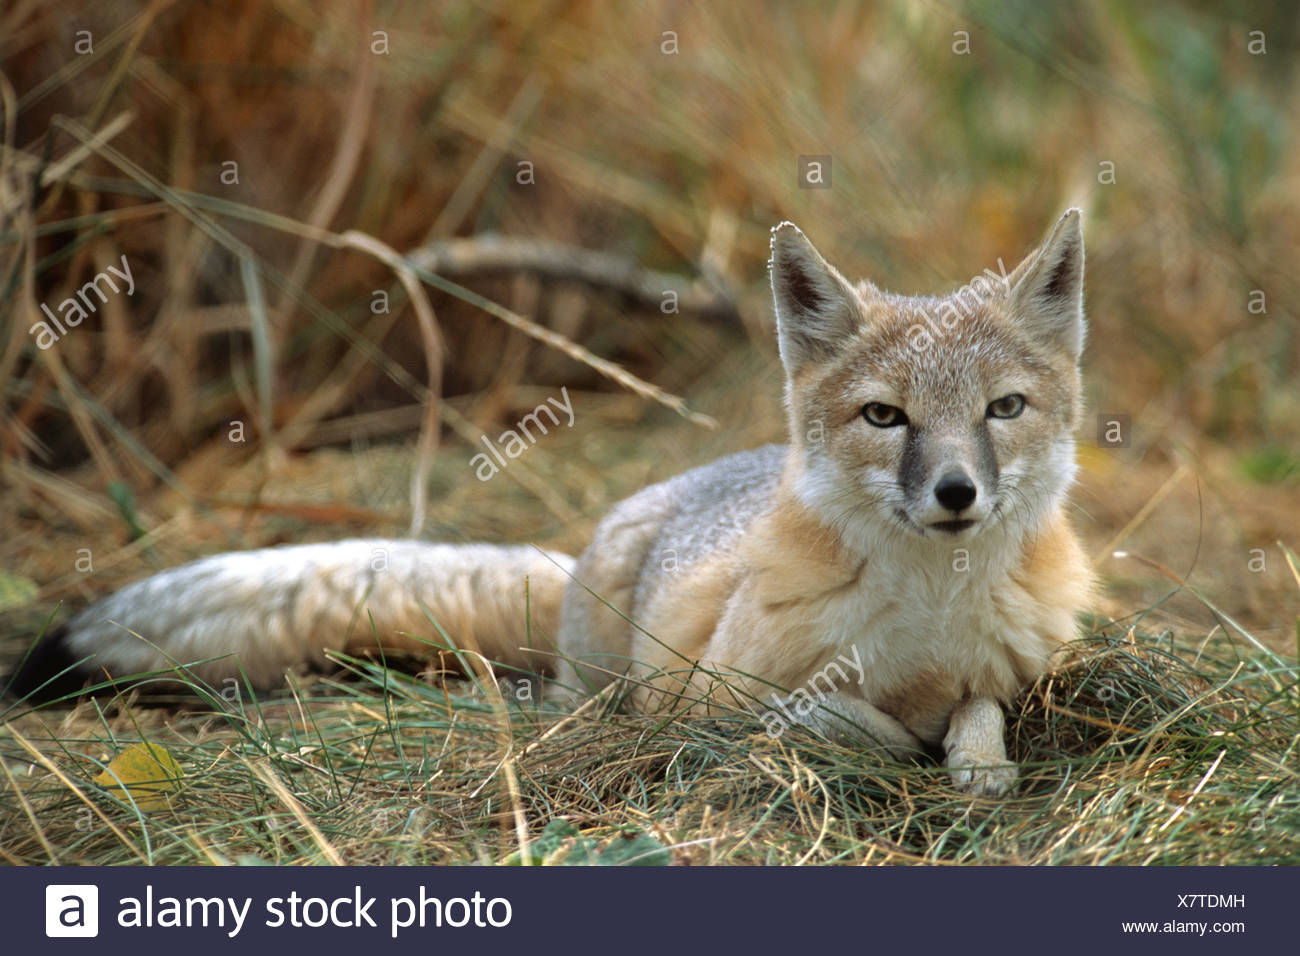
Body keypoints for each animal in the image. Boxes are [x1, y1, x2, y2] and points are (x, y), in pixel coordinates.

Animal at [7, 210, 1094, 796]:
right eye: (884, 416)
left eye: (1001, 409)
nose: (956, 492)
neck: (929, 618)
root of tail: (579, 560)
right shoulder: (706, 697)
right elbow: (831, 715)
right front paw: (909, 742)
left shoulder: (1018, 660)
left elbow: (981, 704)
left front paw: (978, 761)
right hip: (602, 683)